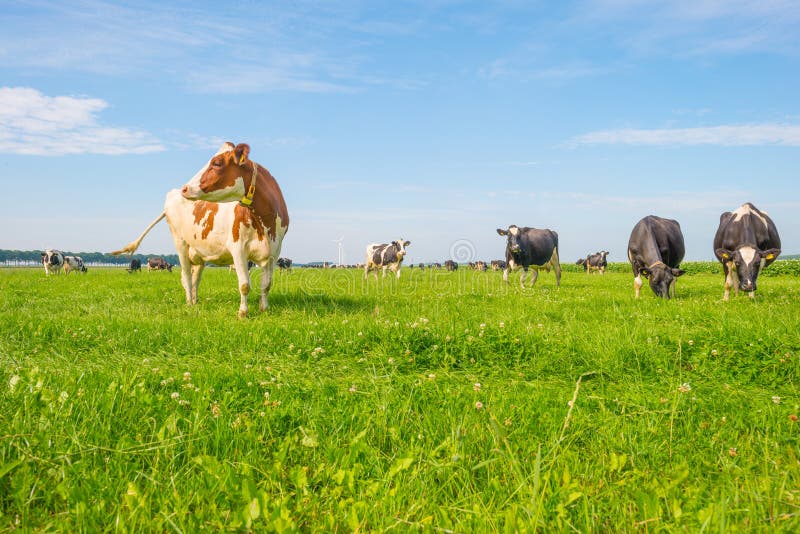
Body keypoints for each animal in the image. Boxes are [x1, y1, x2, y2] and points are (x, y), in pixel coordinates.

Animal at [112, 142, 289, 318]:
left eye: (217, 163)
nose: (185, 188)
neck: (265, 224)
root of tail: (173, 193)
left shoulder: (274, 252)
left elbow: (266, 285)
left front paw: (264, 309)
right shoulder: (238, 248)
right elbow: (244, 284)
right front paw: (243, 313)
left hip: (198, 252)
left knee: (195, 278)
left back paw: (195, 301)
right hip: (180, 244)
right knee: (186, 277)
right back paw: (189, 303)